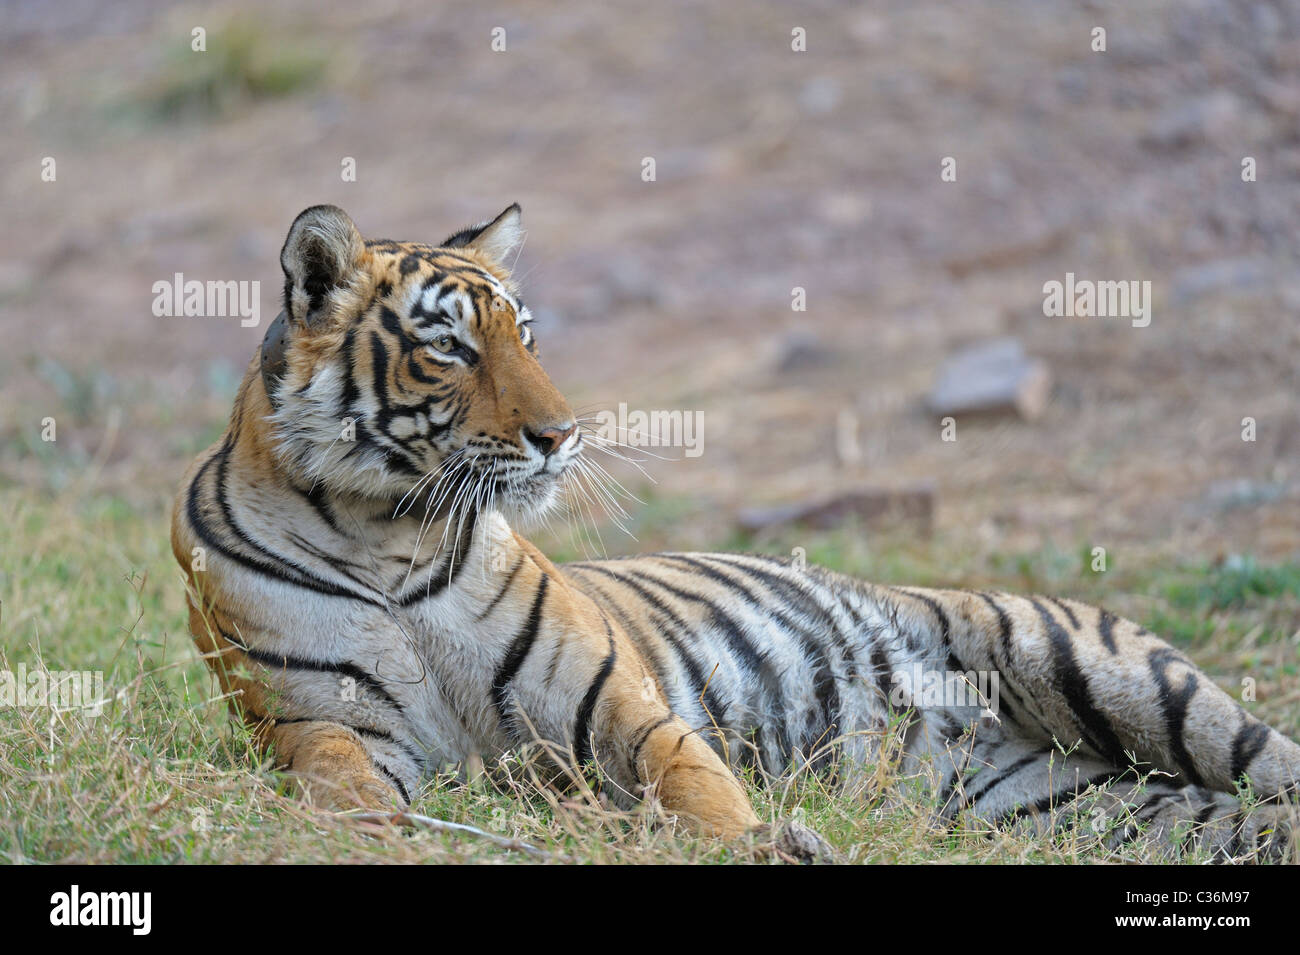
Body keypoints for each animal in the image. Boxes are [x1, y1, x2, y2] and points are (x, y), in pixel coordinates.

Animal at [172, 203, 1300, 862]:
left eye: (526, 335)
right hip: (1092, 809)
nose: (562, 435)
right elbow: (342, 785)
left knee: (1270, 768)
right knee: (1238, 826)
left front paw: (762, 838)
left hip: (1109, 672)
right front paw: (361, 835)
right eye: (448, 346)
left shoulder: (606, 700)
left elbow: (694, 780)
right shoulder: (324, 724)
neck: (386, 531)